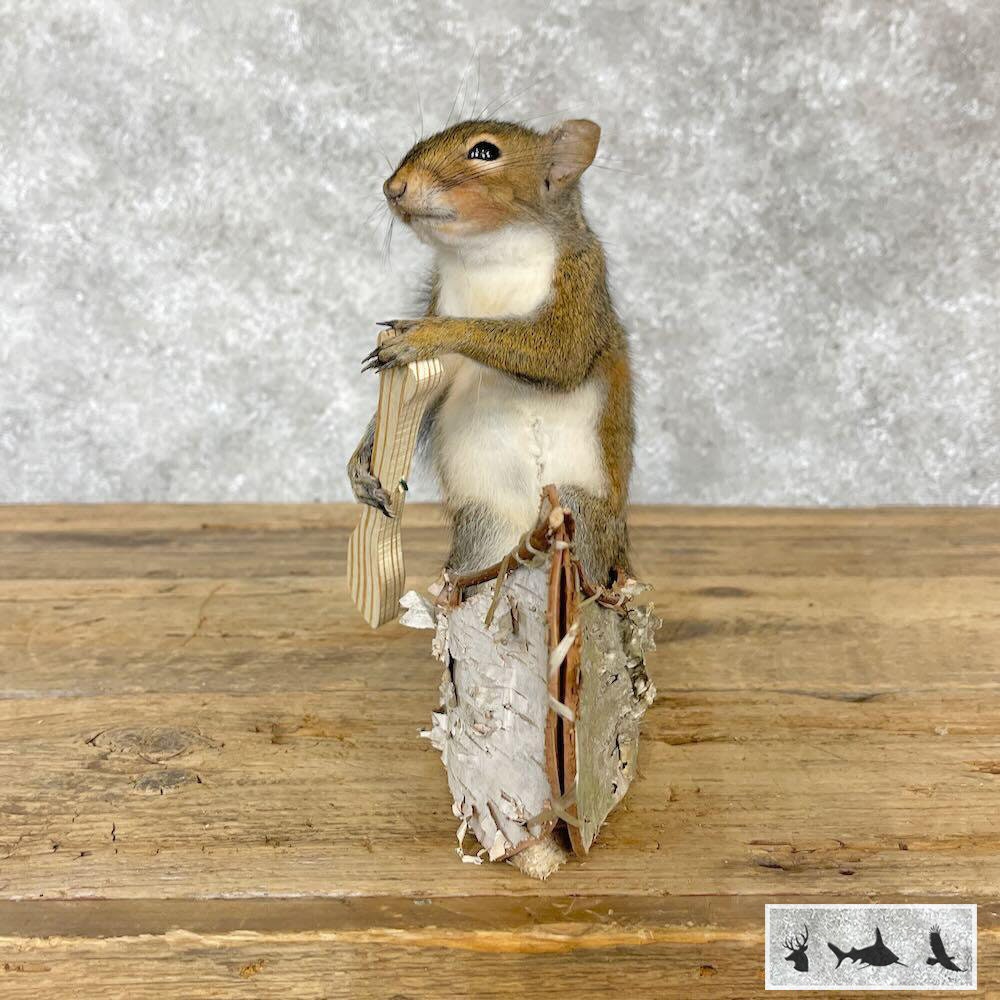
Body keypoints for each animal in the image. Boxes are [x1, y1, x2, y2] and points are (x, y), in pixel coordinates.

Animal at [347, 117, 634, 589]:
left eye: (484, 152)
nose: (394, 187)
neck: (486, 256)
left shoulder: (581, 283)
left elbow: (561, 352)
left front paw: (422, 334)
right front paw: (360, 466)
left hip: (582, 511)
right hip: (482, 522)